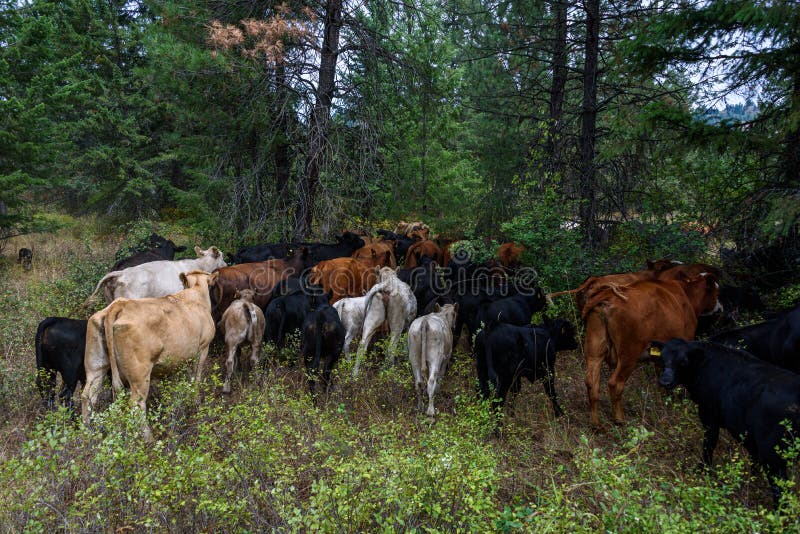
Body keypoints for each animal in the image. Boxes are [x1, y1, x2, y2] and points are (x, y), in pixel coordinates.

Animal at [82, 270, 218, 442]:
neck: (197, 294)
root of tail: (119, 305)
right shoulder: (203, 349)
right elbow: (196, 378)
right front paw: (196, 401)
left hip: (96, 366)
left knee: (88, 395)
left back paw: (89, 432)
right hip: (140, 374)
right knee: (136, 404)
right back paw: (148, 438)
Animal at [583, 273, 721, 427]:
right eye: (717, 292)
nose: (720, 307)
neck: (687, 295)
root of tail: (610, 295)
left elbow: (661, 376)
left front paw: (662, 401)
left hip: (594, 350)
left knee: (591, 382)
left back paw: (596, 424)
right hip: (629, 355)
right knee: (615, 384)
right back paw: (619, 419)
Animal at [654, 338, 800, 505]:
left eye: (684, 361)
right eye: (662, 358)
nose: (665, 381)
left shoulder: (709, 415)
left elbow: (709, 444)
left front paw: (702, 469)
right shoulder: (746, 432)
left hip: (773, 451)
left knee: (779, 487)